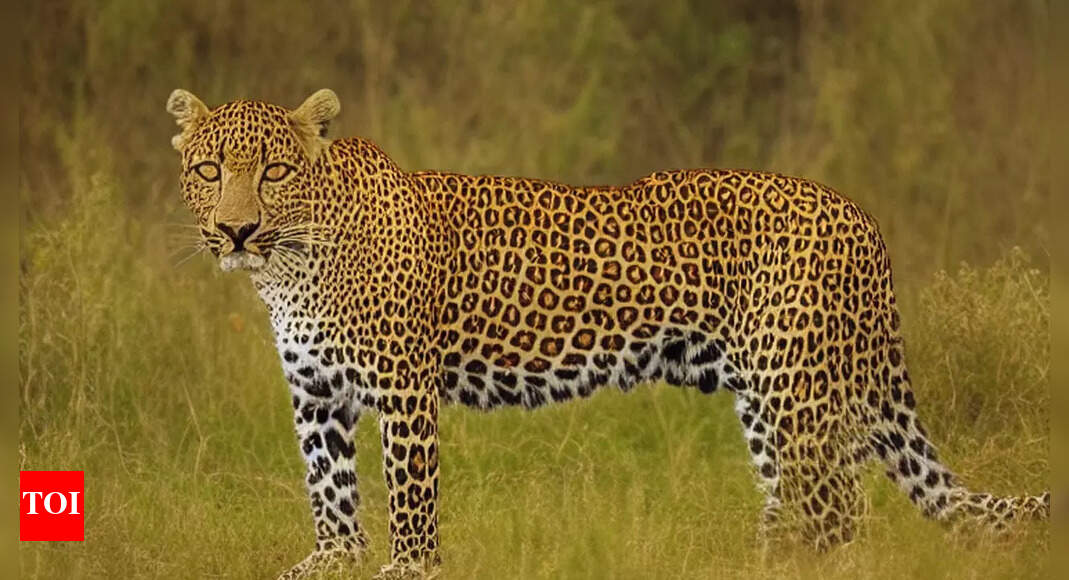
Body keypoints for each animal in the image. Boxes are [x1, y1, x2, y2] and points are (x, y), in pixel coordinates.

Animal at [166, 88, 1049, 579]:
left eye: (274, 171)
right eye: (209, 171)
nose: (237, 231)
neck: (289, 268)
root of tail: (861, 218)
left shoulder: (402, 389)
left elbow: (411, 499)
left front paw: (406, 570)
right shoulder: (316, 394)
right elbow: (330, 494)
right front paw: (330, 563)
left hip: (798, 392)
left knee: (842, 521)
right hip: (772, 399)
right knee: (800, 513)